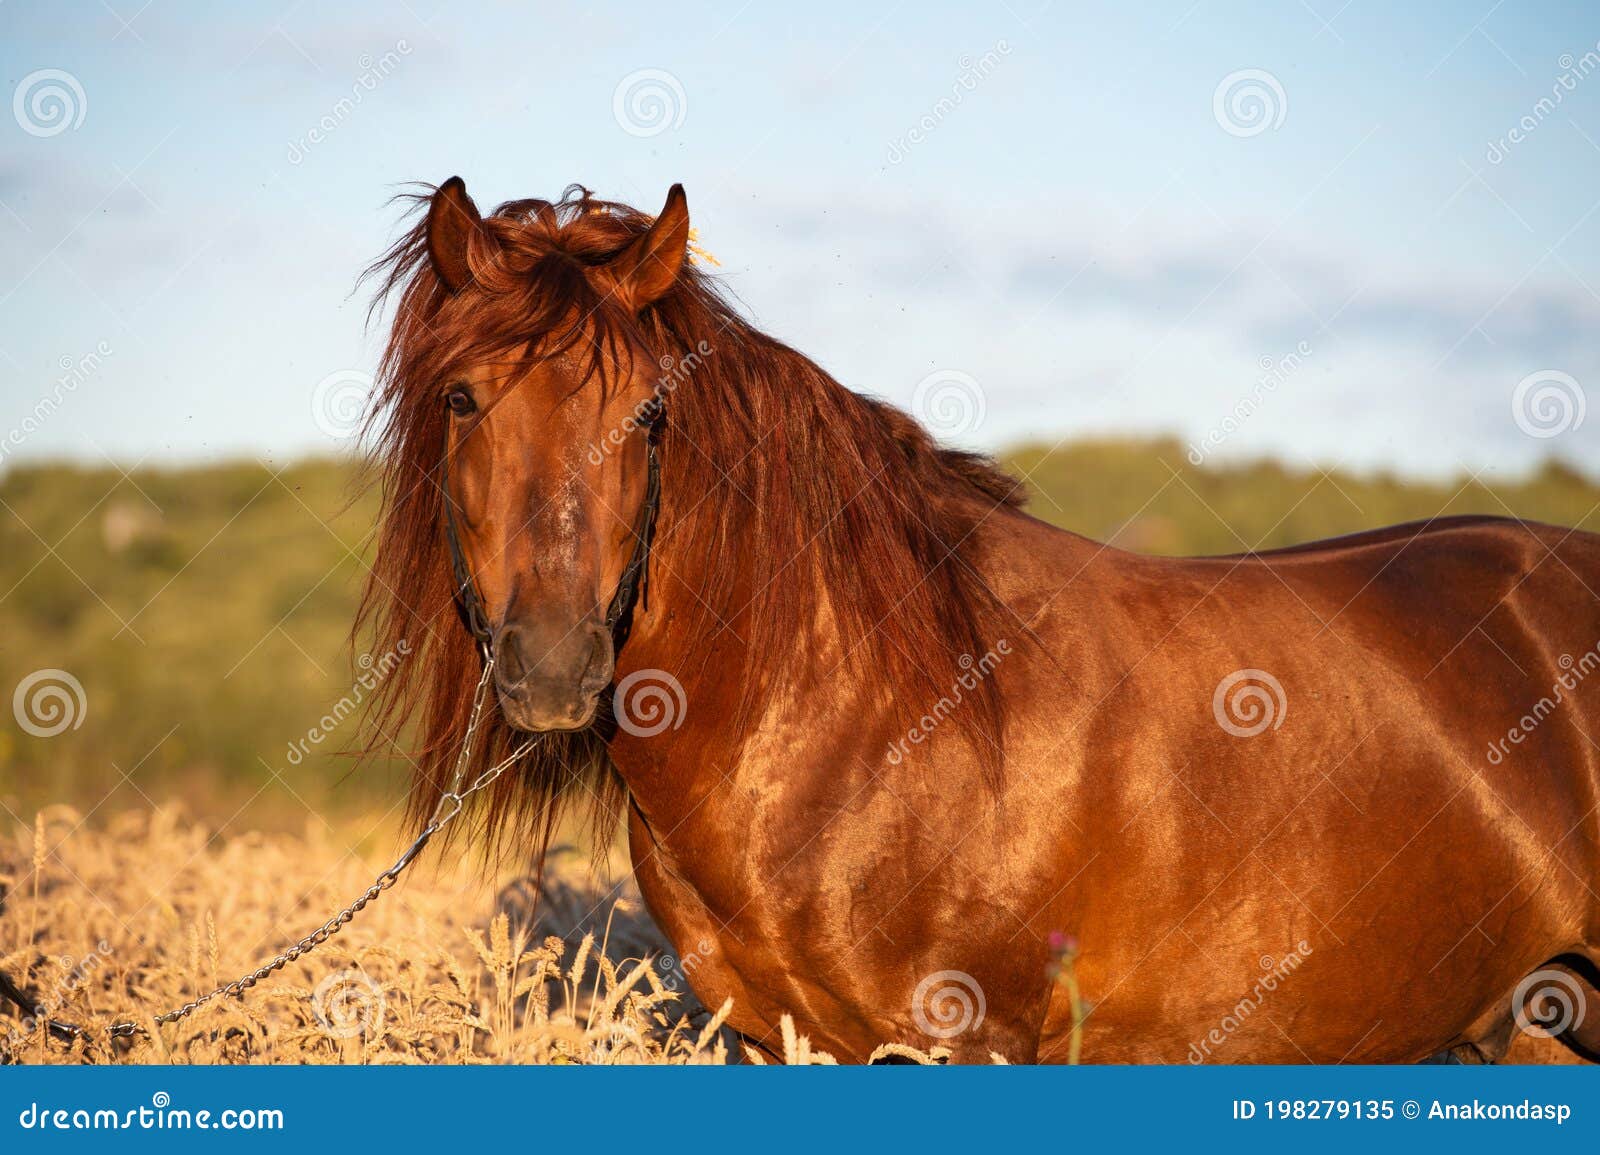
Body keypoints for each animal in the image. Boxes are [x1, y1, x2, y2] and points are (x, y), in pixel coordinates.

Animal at [355, 177, 1600, 1064]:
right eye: (462, 399)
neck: (857, 714)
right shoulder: (772, 1042)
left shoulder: (962, 1038)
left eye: (650, 413)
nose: (554, 670)